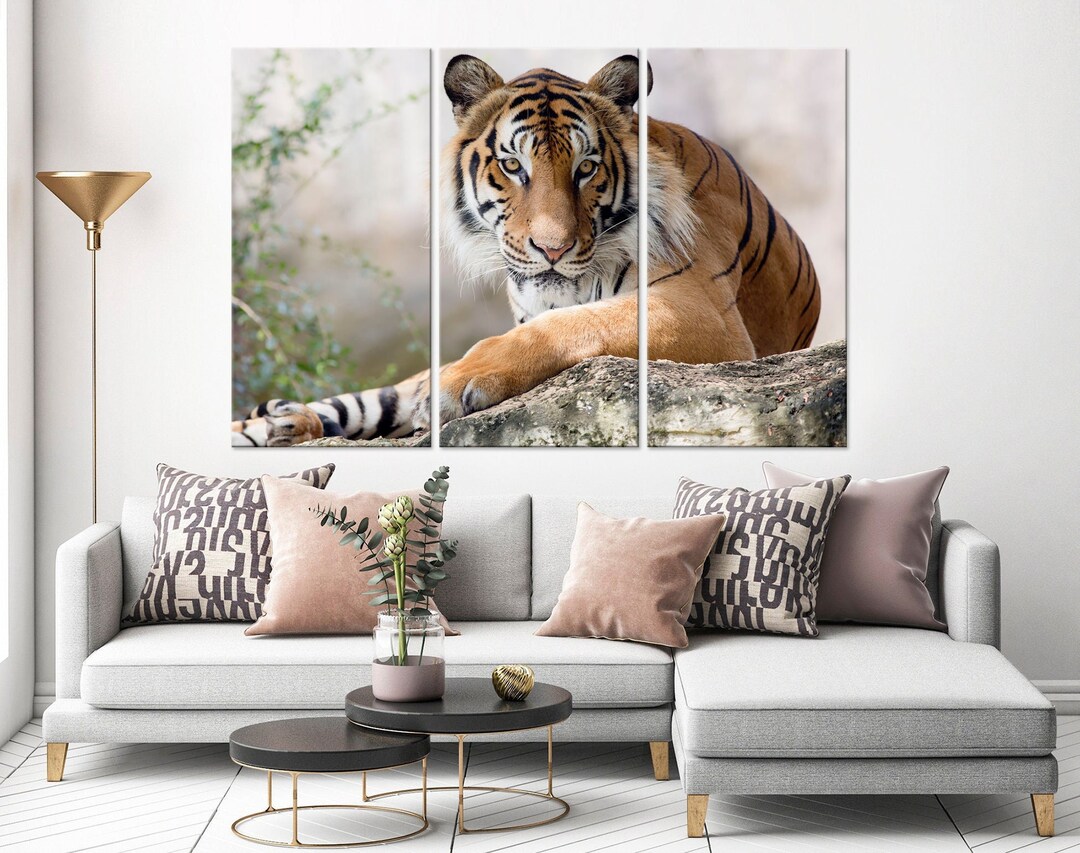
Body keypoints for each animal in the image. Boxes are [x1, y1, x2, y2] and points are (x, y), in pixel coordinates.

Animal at [231, 53, 820, 447]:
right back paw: (272, 424)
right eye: (513, 165)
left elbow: (571, 324)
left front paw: (460, 382)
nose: (552, 248)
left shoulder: (704, 313)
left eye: (587, 168)